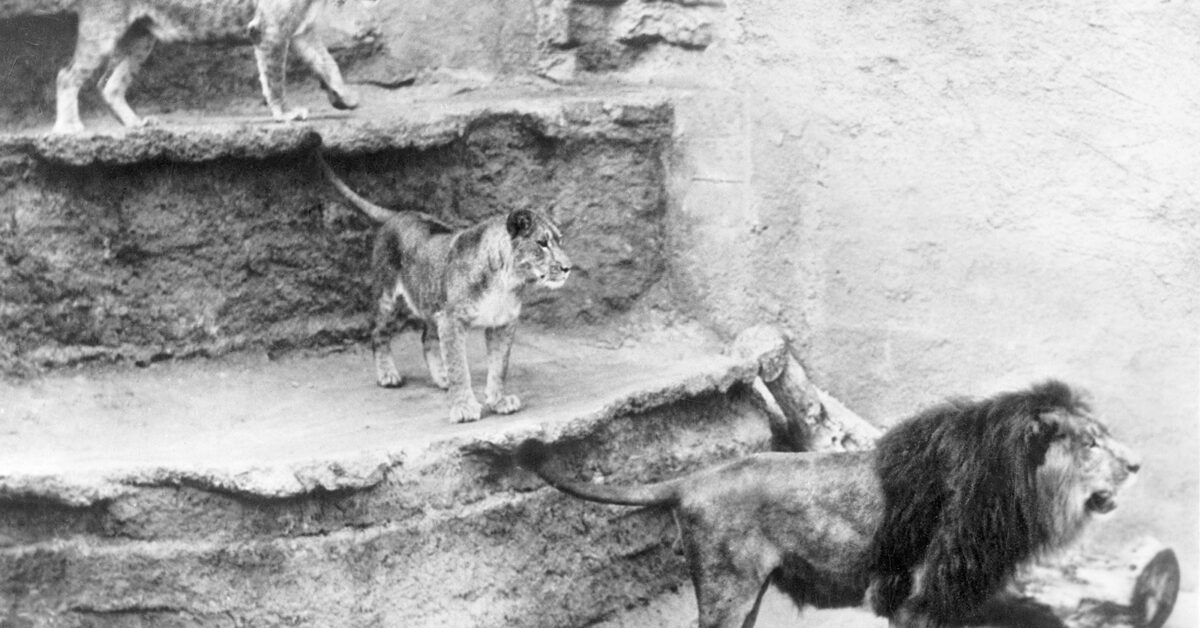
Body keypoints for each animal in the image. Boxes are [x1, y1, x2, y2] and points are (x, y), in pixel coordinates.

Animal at [53, 0, 359, 133]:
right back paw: (69, 127)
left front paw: (343, 98)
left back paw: (137, 123)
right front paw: (287, 114)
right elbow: (275, 79)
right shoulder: (270, 28)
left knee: (109, 84)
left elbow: (327, 61)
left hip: (140, 36)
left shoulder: (300, 30)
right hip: (104, 28)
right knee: (67, 76)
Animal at [317, 152, 572, 423]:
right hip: (389, 297)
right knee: (378, 333)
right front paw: (464, 407)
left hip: (432, 301)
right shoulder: (452, 320)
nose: (568, 267)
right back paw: (388, 375)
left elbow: (499, 366)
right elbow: (459, 366)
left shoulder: (502, 323)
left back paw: (442, 377)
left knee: (427, 338)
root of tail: (398, 214)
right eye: (542, 243)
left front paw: (499, 401)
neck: (508, 281)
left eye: (560, 241)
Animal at [516, 380, 1141, 627]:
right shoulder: (918, 598)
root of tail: (697, 478)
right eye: (1090, 443)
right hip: (726, 590)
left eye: (1105, 435)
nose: (1137, 465)